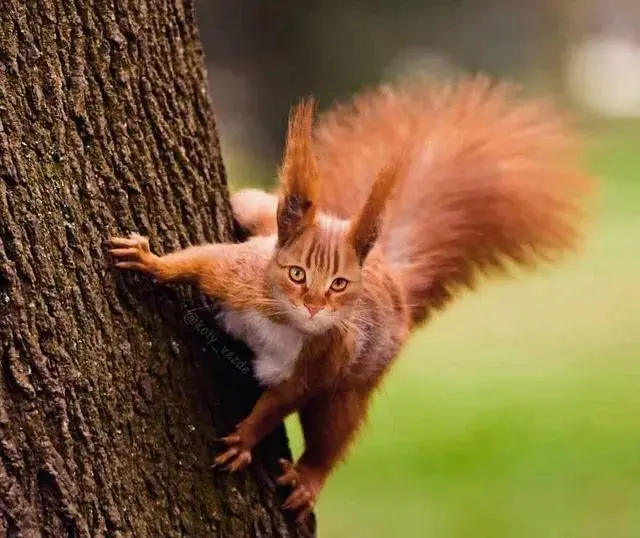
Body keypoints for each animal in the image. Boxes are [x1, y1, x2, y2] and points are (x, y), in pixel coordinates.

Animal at [108, 76, 591, 522]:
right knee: (249, 206)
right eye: (296, 273)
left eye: (341, 284)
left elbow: (278, 403)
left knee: (332, 436)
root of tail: (393, 281)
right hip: (258, 213)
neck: (283, 324)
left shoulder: (317, 363)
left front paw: (245, 440)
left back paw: (308, 480)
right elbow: (197, 261)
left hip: (351, 389)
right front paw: (149, 260)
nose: (314, 307)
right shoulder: (237, 277)